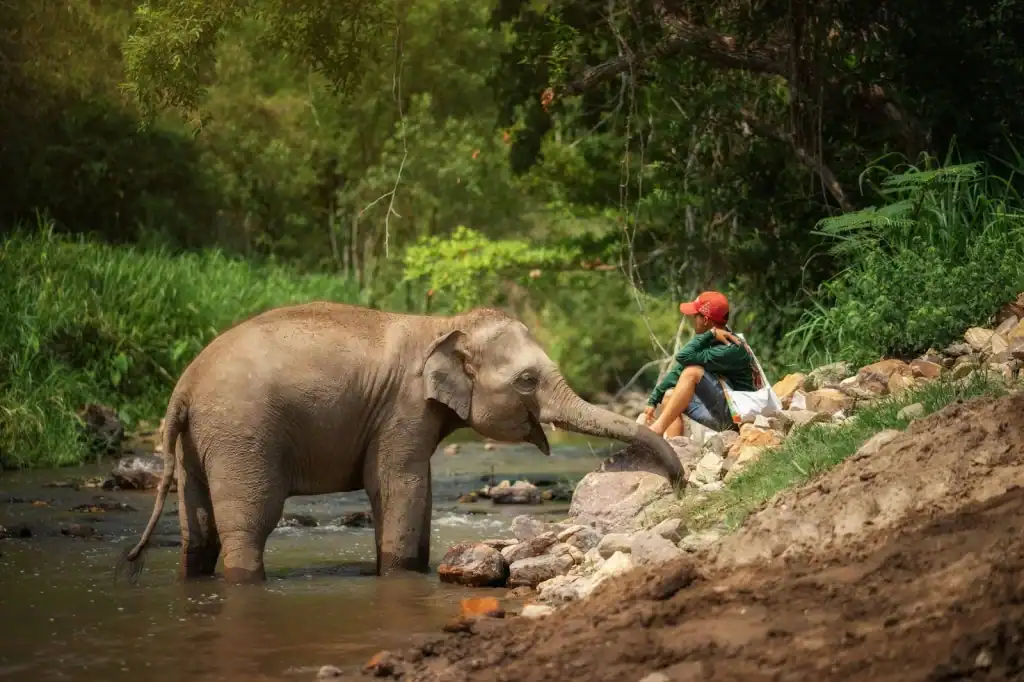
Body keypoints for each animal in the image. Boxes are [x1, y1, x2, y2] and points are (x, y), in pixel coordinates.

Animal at [116, 301, 684, 585]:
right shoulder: (402, 408)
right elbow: (396, 485)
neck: (444, 325)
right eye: (527, 381)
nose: (678, 482)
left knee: (197, 524)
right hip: (242, 434)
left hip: (198, 441)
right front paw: (400, 573)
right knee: (249, 519)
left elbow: (421, 488)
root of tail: (184, 386)